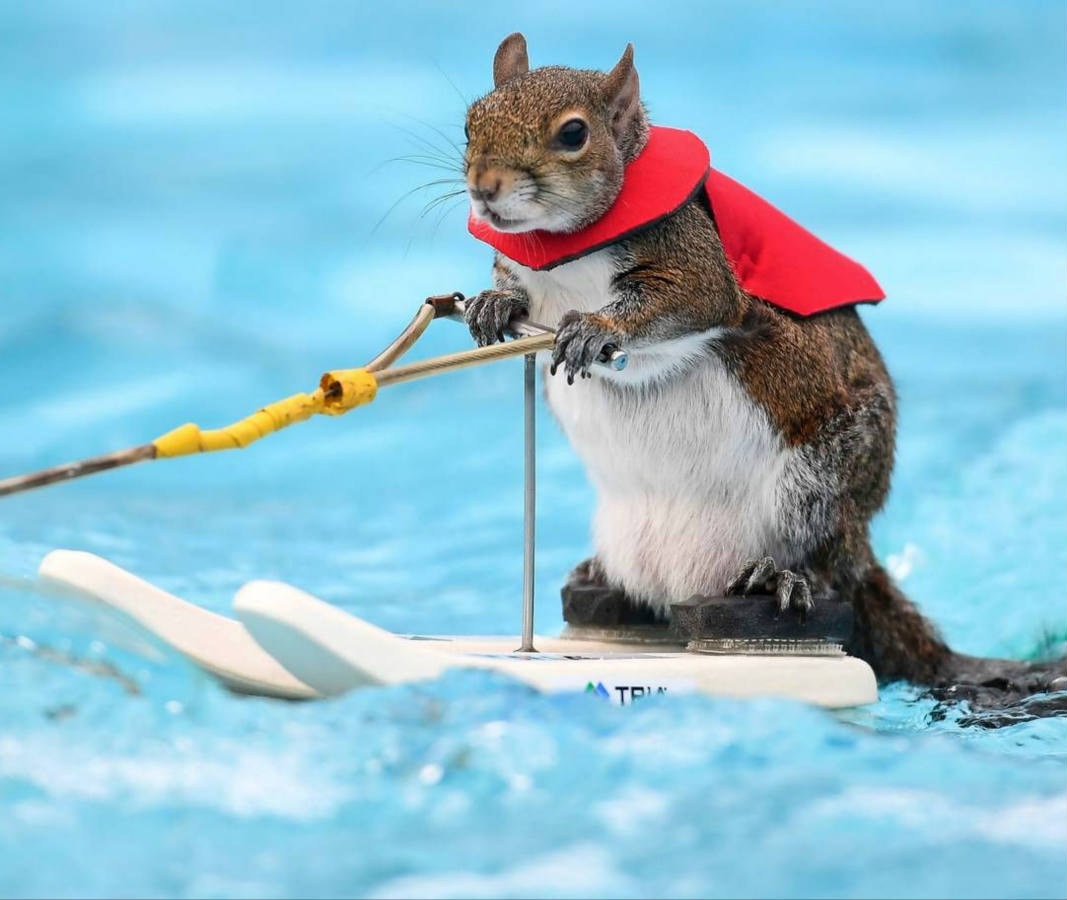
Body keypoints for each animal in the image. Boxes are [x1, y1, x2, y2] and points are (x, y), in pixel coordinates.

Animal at [461, 33, 1066, 700]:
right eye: (470, 124)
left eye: (574, 134)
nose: (484, 188)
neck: (561, 254)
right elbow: (512, 292)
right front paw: (493, 304)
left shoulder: (695, 261)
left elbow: (686, 306)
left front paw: (599, 327)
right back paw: (600, 582)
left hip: (819, 484)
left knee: (827, 561)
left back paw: (783, 577)